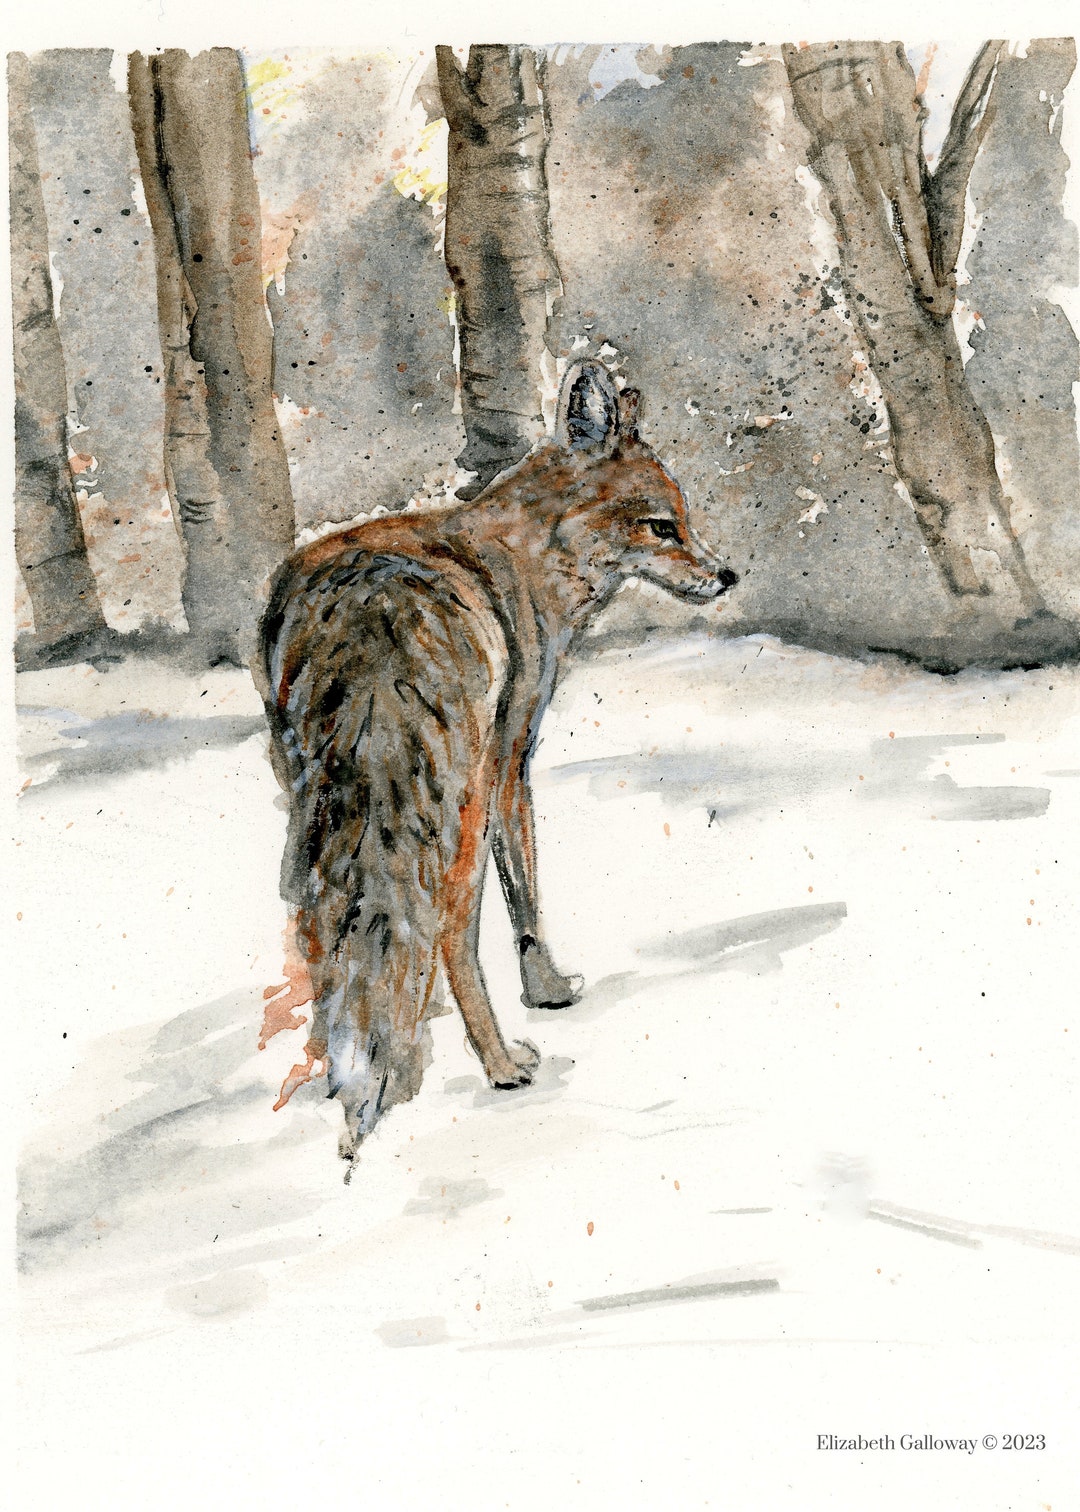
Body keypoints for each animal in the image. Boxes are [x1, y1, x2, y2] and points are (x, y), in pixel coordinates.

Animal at [258, 360, 739, 1162]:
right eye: (662, 526)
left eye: (685, 519)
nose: (728, 576)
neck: (523, 553)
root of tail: (373, 594)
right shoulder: (512, 758)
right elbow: (527, 897)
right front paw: (547, 991)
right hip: (462, 803)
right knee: (453, 932)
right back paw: (502, 1065)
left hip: (304, 800)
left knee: (318, 924)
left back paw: (337, 1073)